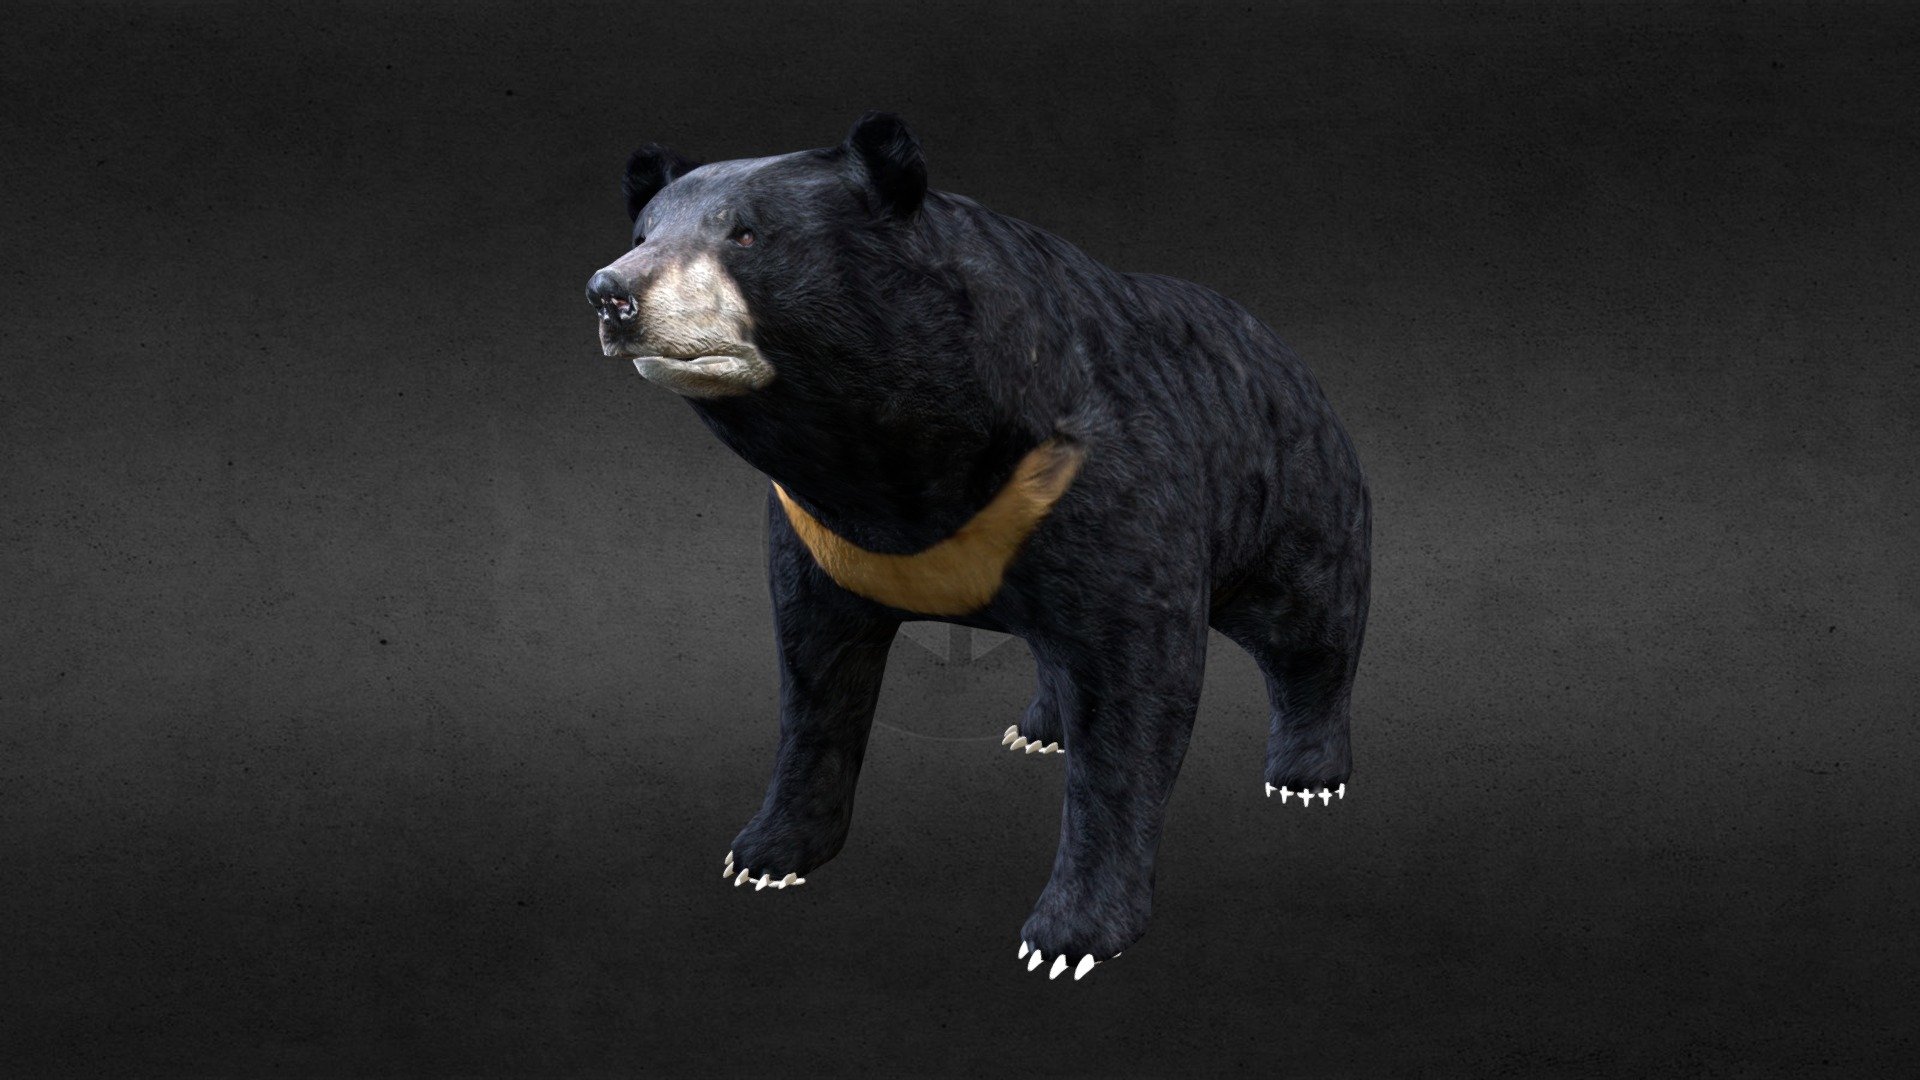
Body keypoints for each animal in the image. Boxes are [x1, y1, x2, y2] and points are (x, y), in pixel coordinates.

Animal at [585, 112, 1372, 980]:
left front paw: (1069, 936)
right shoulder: (816, 533)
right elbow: (815, 680)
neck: (877, 448)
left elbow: (1137, 687)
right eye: (643, 232)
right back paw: (1040, 728)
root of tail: (1283, 350)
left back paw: (1306, 775)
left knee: (1310, 625)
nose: (611, 292)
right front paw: (765, 855)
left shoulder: (1103, 470)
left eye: (748, 234)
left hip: (1288, 489)